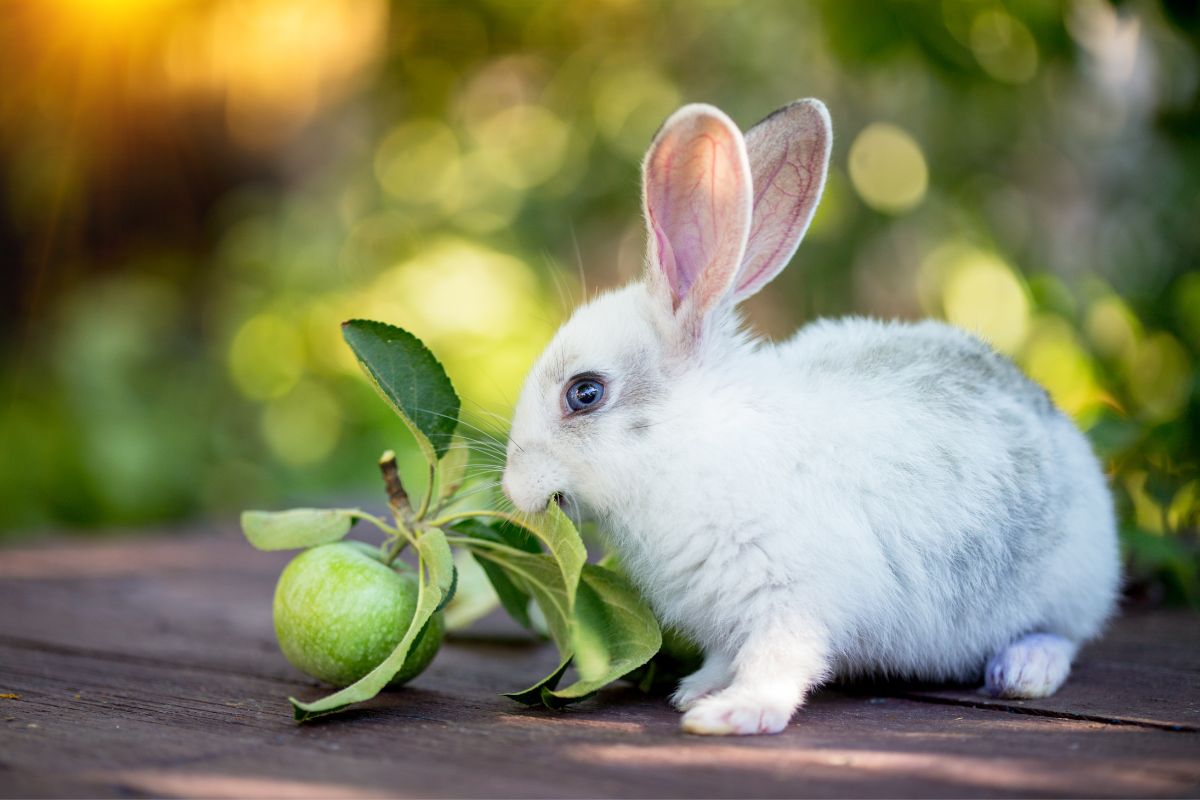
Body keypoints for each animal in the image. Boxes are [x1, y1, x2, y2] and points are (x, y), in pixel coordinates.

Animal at [501, 99, 1120, 736]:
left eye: (585, 393)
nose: (511, 487)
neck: (689, 442)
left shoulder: (790, 597)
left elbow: (778, 660)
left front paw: (729, 714)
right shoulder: (730, 616)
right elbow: (727, 655)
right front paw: (697, 690)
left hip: (1070, 584)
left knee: (1064, 635)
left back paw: (1024, 670)